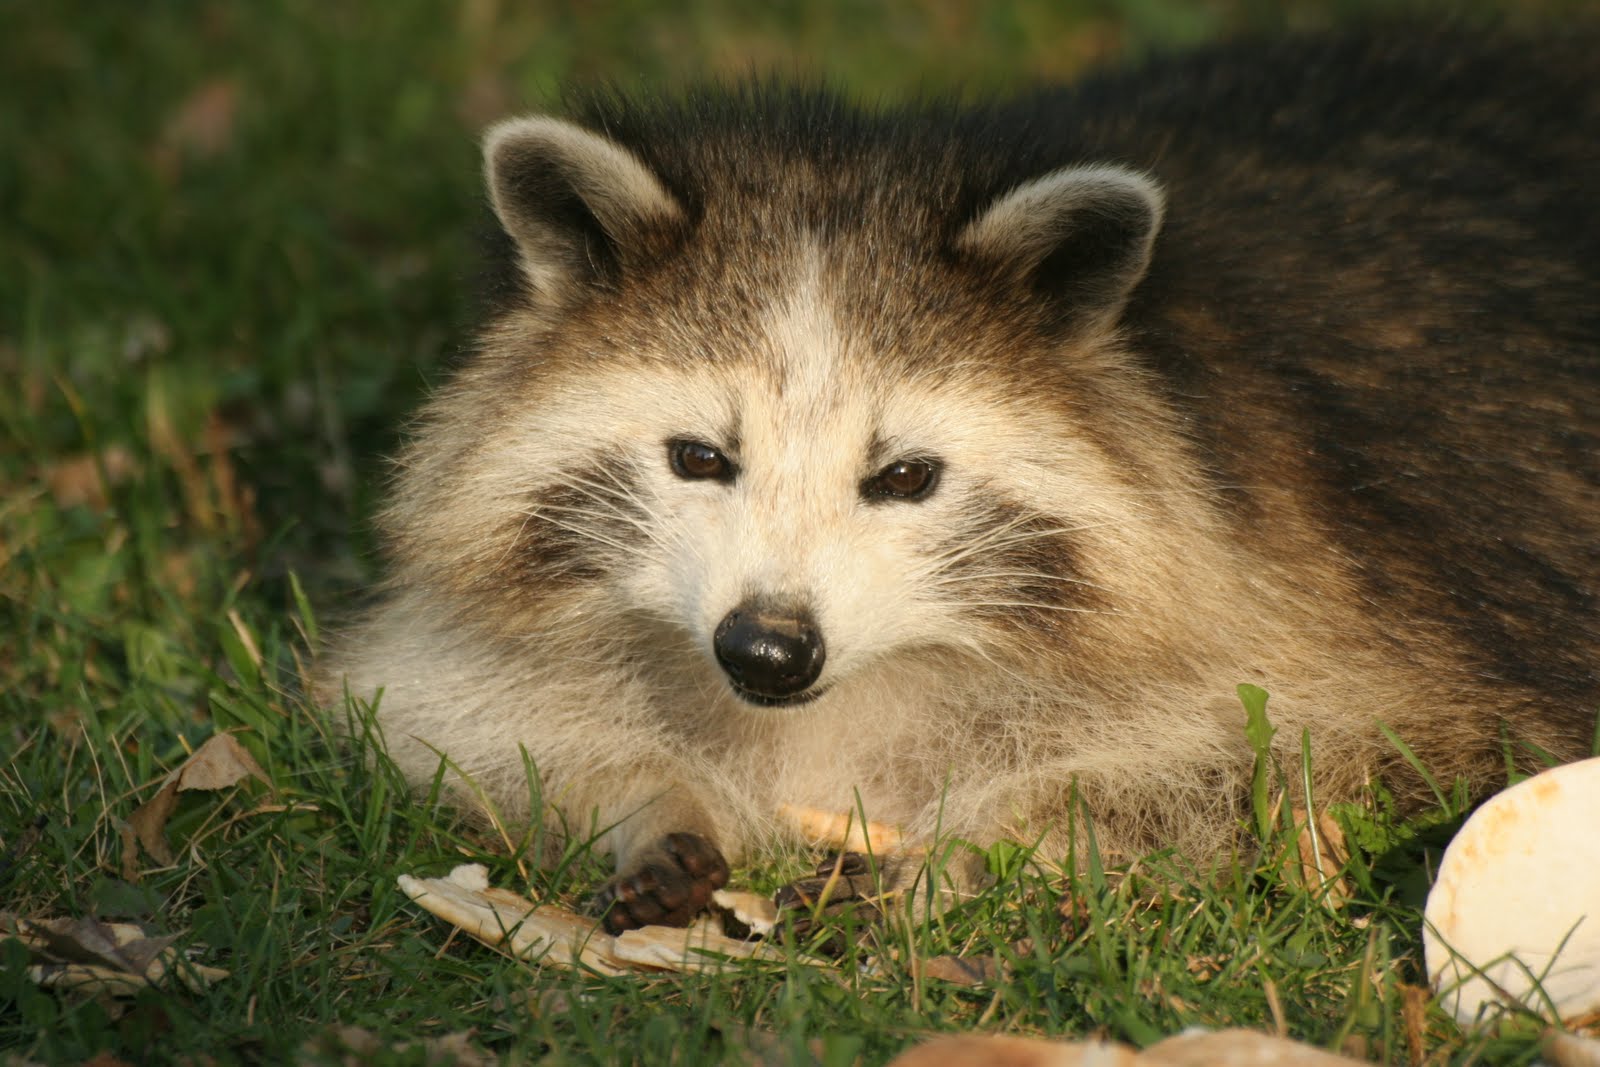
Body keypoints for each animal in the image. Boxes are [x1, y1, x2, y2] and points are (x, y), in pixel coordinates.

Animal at [322, 32, 1600, 932]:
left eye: (903, 476)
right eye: (699, 458)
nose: (767, 648)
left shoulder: (1328, 596)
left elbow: (1301, 764)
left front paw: (982, 844)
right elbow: (444, 714)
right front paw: (651, 798)